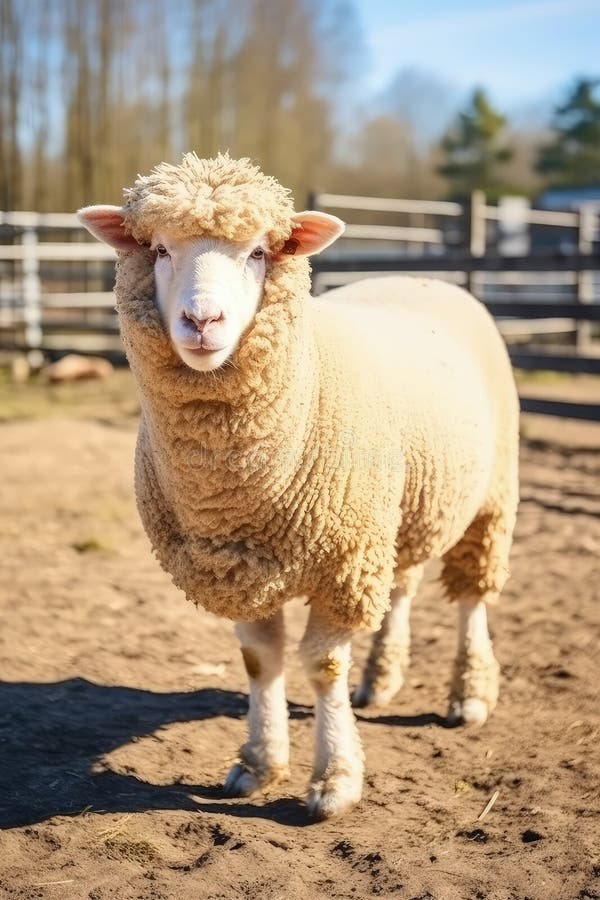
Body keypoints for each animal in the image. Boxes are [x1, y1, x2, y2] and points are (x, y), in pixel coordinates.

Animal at [77, 152, 519, 820]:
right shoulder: (238, 567)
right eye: (157, 249)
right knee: (404, 586)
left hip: (490, 495)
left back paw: (468, 694)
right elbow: (260, 661)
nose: (202, 321)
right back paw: (381, 679)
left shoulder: (343, 560)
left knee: (473, 598)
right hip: (403, 506)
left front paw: (335, 778)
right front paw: (259, 763)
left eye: (260, 252)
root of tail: (427, 278)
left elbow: (323, 665)